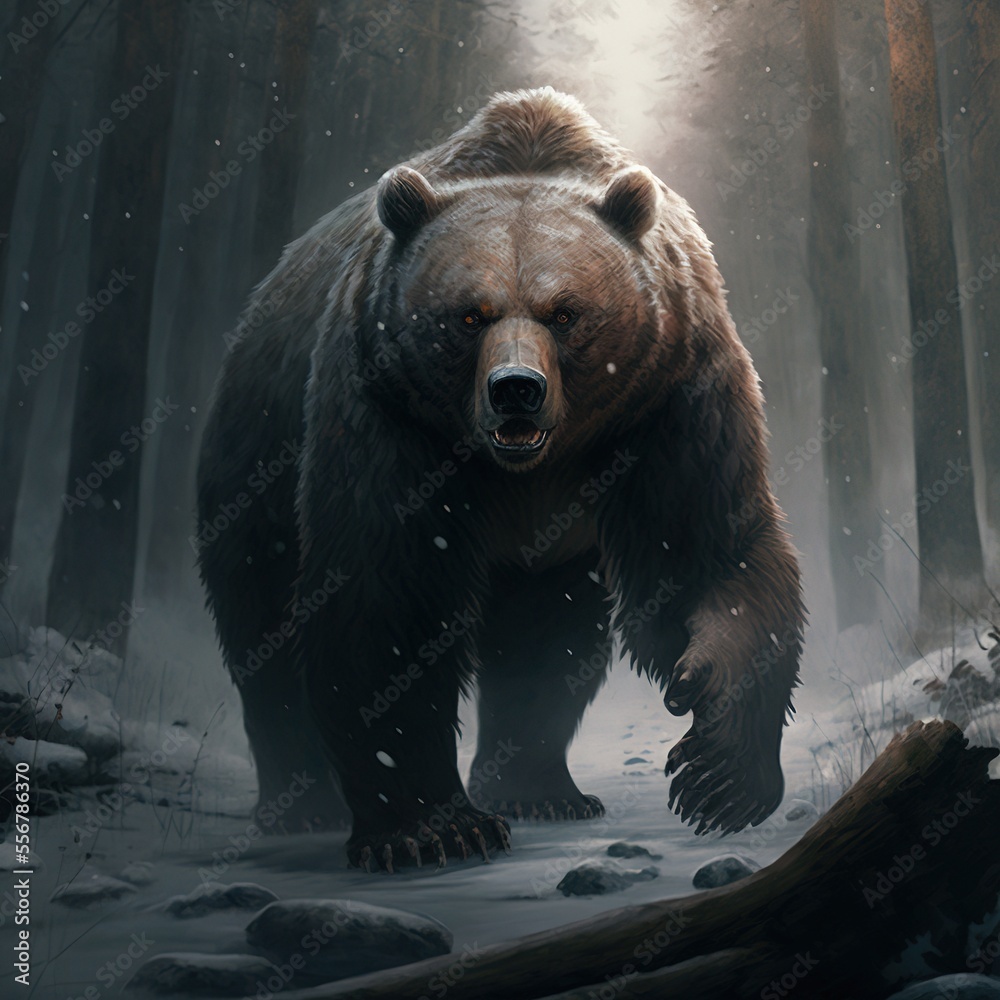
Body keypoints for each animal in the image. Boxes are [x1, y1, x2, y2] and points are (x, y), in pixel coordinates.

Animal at [196, 87, 805, 868]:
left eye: (566, 311)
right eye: (468, 315)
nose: (517, 389)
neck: (537, 460)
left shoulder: (671, 395)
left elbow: (710, 556)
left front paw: (721, 774)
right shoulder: (388, 407)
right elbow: (385, 593)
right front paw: (433, 828)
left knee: (547, 636)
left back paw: (540, 788)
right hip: (255, 456)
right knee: (263, 623)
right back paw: (302, 805)